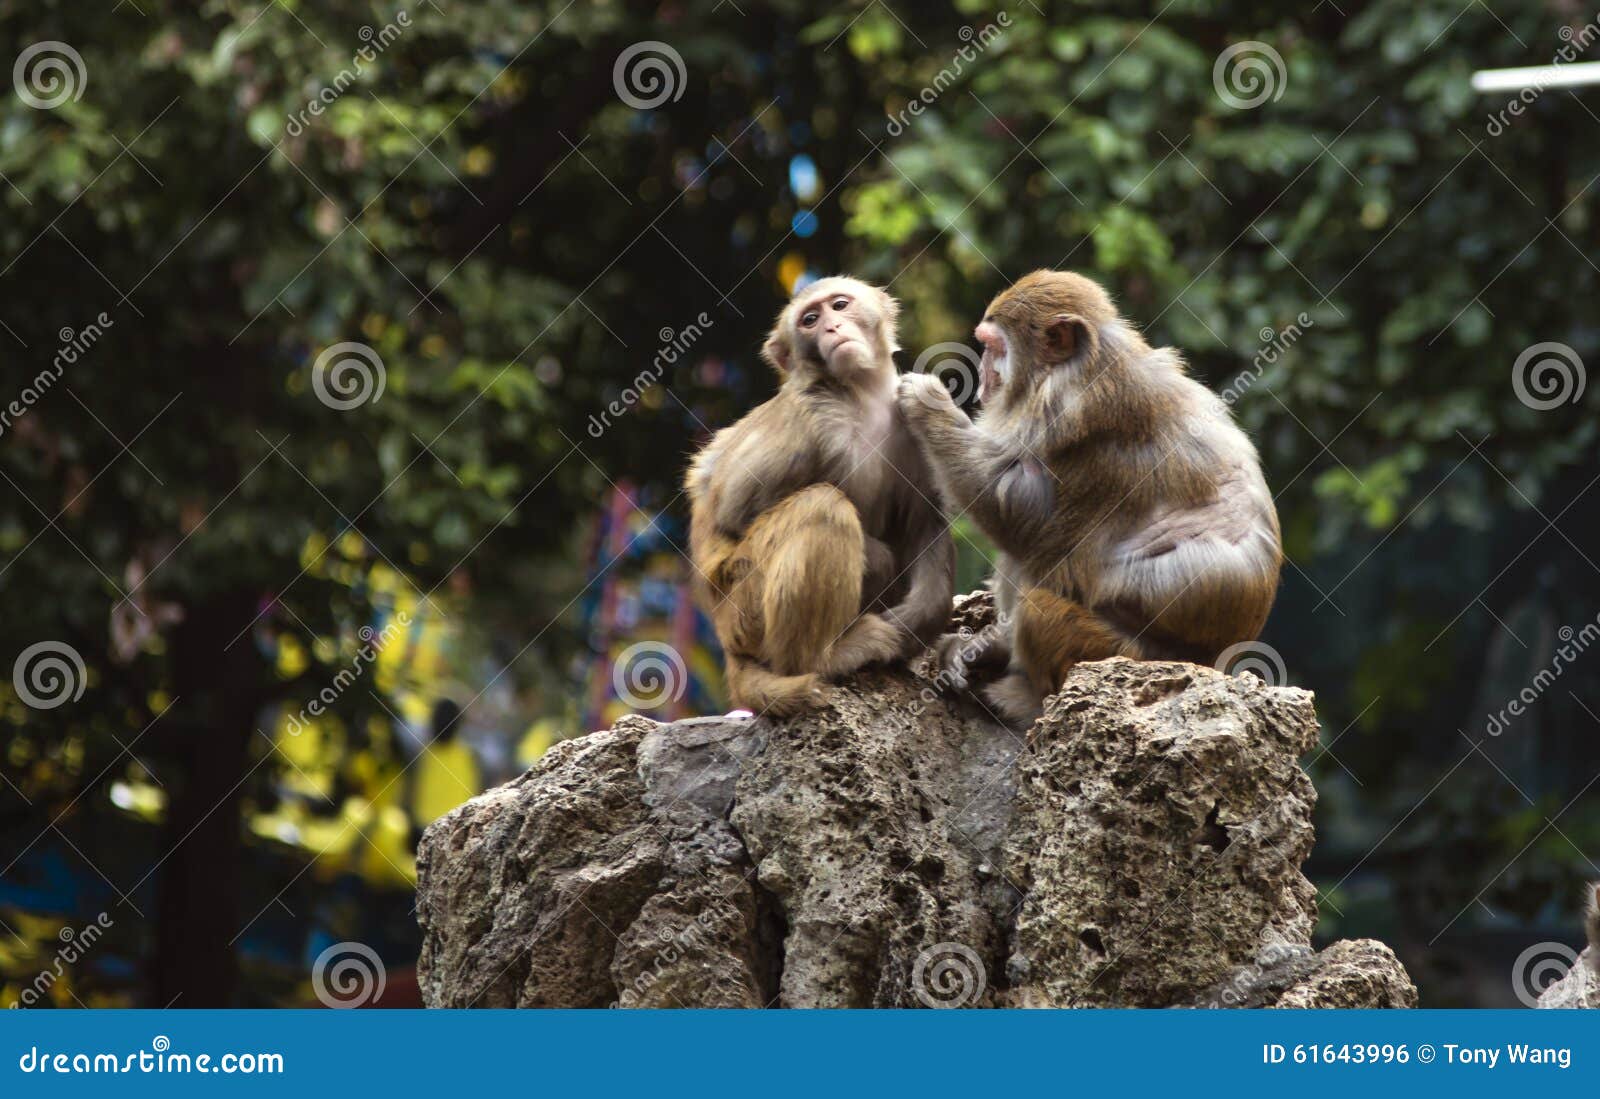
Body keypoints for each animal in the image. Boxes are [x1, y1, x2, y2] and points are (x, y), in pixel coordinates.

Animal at [685, 277, 955, 716]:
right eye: (809, 320)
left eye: (840, 305)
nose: (831, 327)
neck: (861, 396)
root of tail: (728, 645)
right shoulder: (814, 419)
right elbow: (731, 509)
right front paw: (878, 560)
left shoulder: (912, 424)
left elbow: (924, 521)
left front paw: (917, 621)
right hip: (745, 607)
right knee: (822, 506)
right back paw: (821, 658)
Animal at [896, 269, 1281, 728]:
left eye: (994, 348)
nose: (984, 375)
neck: (1085, 367)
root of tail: (1217, 664)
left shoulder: (1096, 447)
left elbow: (1021, 522)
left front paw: (927, 404)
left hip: (1120, 658)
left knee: (1040, 601)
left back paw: (1027, 699)